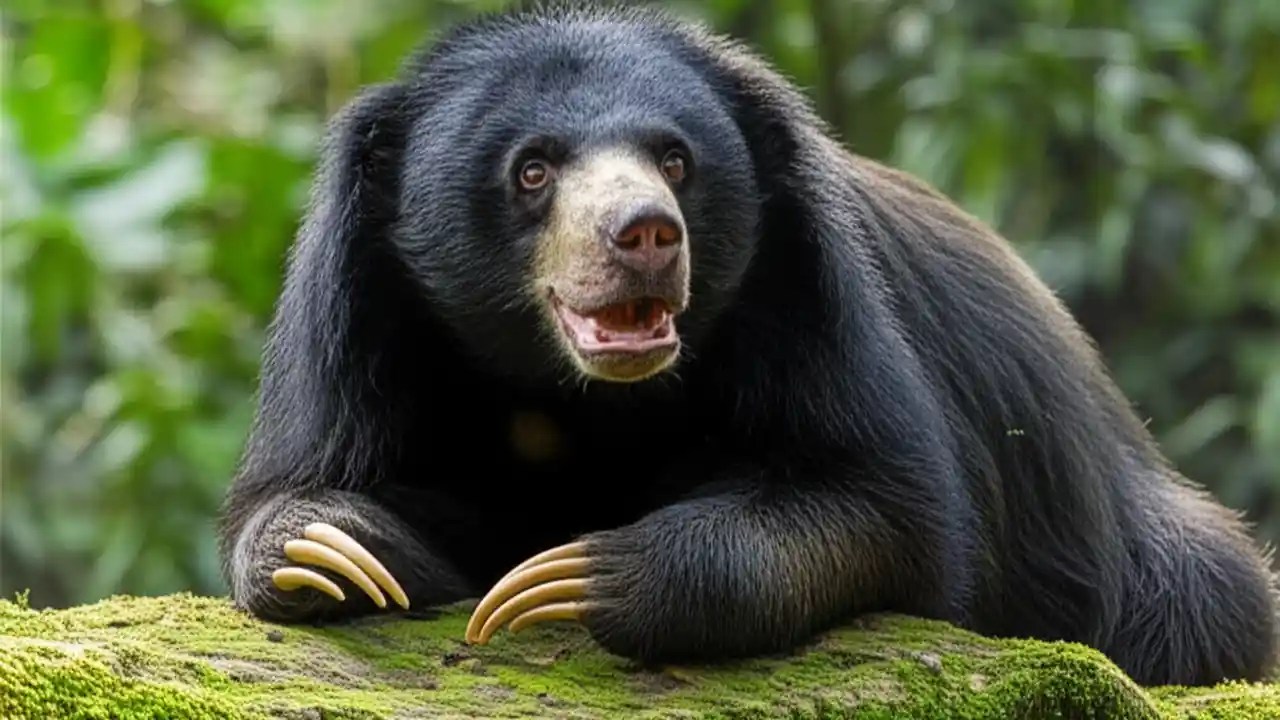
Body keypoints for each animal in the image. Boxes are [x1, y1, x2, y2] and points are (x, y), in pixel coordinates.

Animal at [216, 1, 1278, 687]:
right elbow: (301, 488)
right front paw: (331, 549)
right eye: (533, 171)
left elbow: (883, 510)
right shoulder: (354, 314)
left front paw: (576, 577)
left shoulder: (813, 290)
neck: (578, 391)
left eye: (675, 159)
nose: (645, 233)